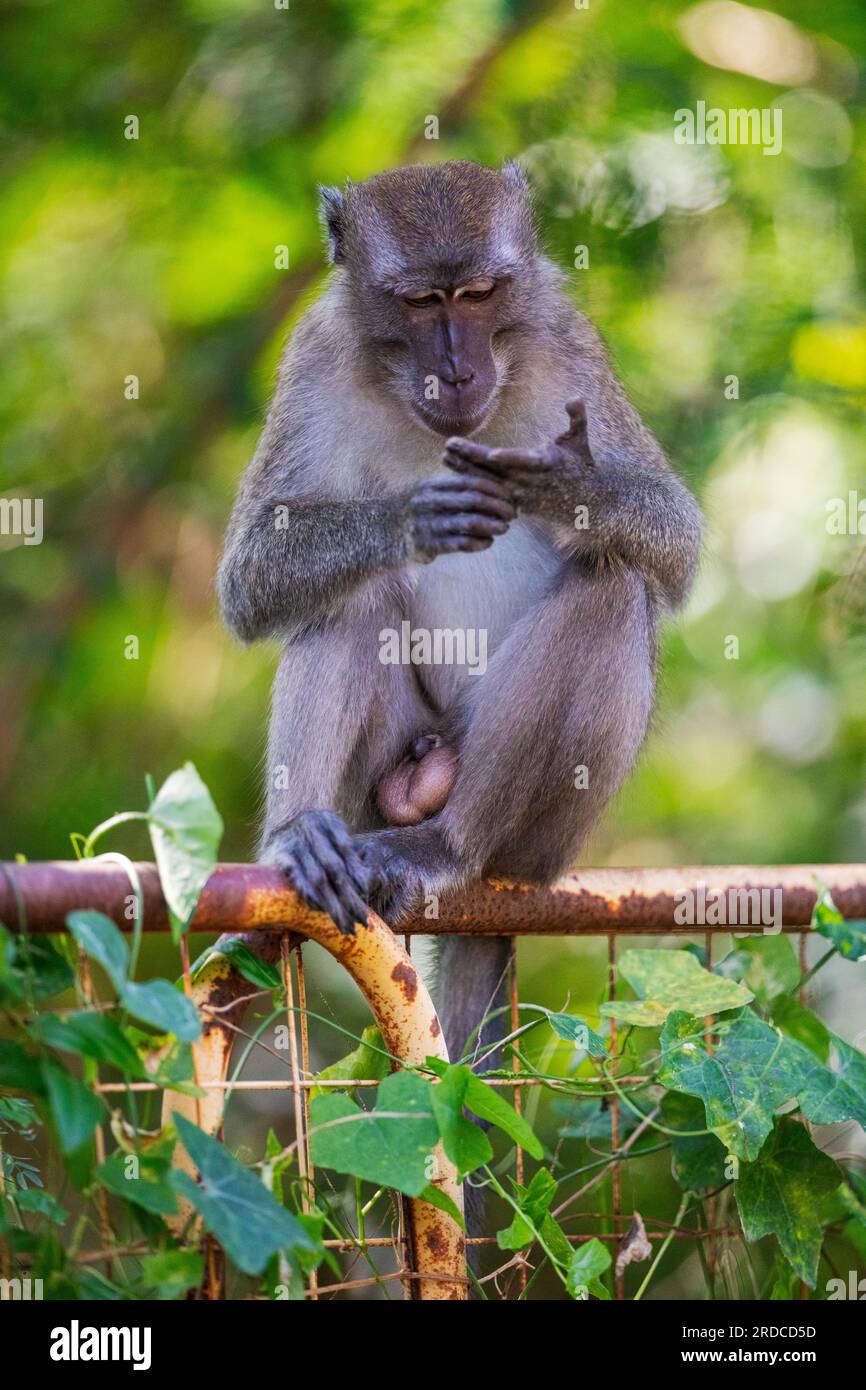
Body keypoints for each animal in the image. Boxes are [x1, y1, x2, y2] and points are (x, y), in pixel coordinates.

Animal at [217, 159, 702, 1129]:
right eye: (418, 302)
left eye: (479, 294)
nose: (456, 367)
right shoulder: (312, 355)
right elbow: (251, 575)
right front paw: (414, 517)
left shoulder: (568, 341)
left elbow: (672, 543)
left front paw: (568, 483)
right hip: (377, 788)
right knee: (351, 598)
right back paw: (303, 839)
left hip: (551, 839)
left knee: (612, 586)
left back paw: (448, 846)